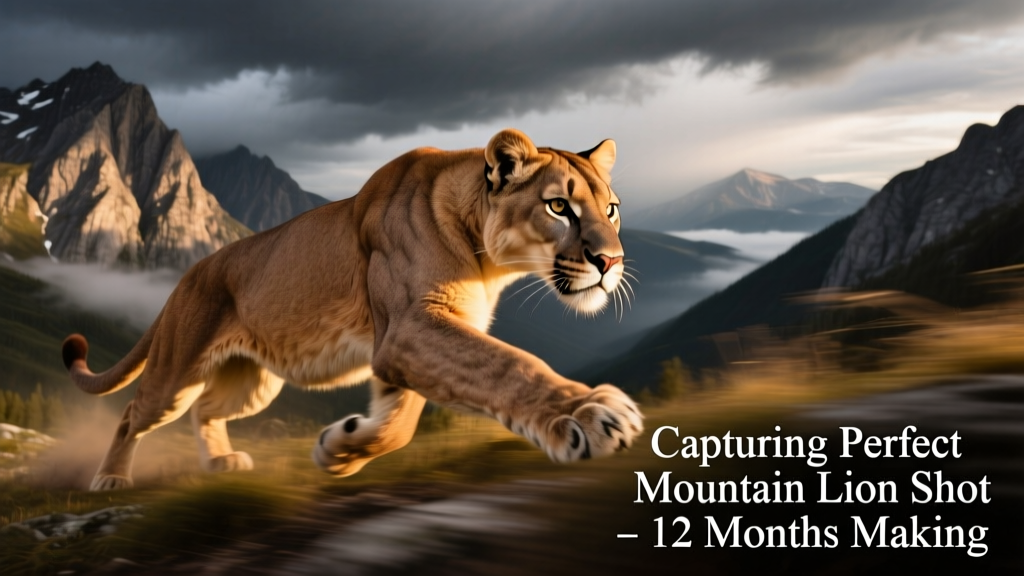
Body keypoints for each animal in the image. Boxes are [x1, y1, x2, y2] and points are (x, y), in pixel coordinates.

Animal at [62, 129, 644, 491]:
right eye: (558, 206)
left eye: (611, 209)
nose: (611, 260)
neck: (487, 261)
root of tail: (185, 277)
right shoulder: (410, 327)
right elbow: (509, 365)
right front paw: (589, 413)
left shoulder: (404, 340)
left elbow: (399, 425)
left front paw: (339, 451)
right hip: (176, 372)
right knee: (135, 412)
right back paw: (109, 479)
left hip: (251, 382)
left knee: (206, 410)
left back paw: (223, 462)